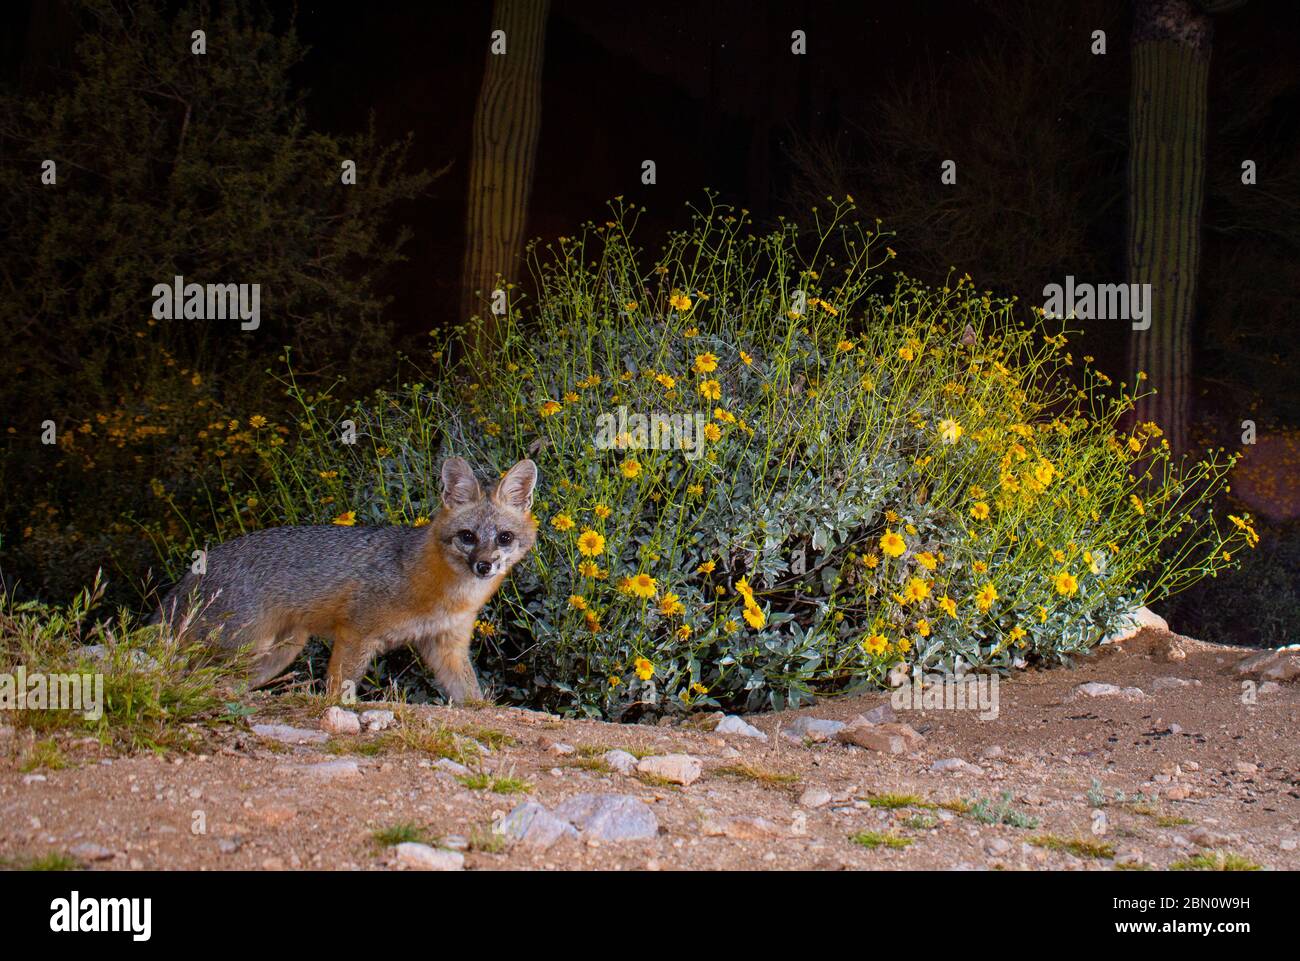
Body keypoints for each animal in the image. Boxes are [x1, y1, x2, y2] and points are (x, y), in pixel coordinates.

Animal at [153, 457, 538, 703]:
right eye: (467, 537)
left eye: (504, 538)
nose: (484, 566)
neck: (448, 593)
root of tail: (197, 570)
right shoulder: (356, 632)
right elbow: (339, 687)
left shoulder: (446, 645)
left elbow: (472, 697)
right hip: (248, 650)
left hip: (278, 654)